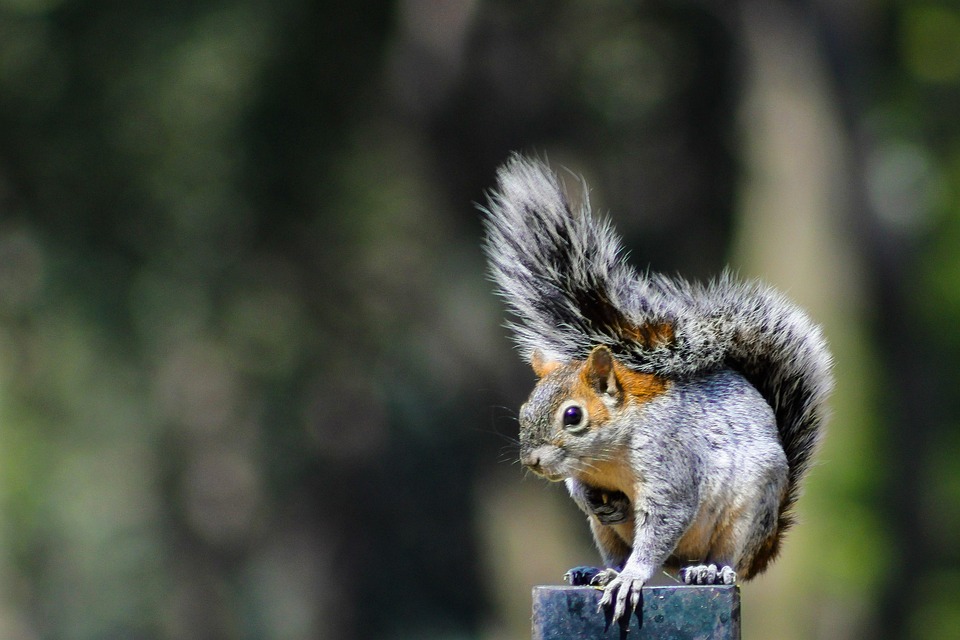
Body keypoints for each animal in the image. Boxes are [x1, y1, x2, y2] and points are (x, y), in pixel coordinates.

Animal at [480, 154, 833, 623]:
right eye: (524, 410)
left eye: (573, 416)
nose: (533, 462)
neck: (607, 457)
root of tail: (769, 542)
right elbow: (581, 492)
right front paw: (593, 500)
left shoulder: (671, 464)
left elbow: (664, 521)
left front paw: (634, 576)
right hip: (607, 534)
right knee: (616, 553)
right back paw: (596, 571)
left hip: (747, 512)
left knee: (721, 559)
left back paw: (705, 571)